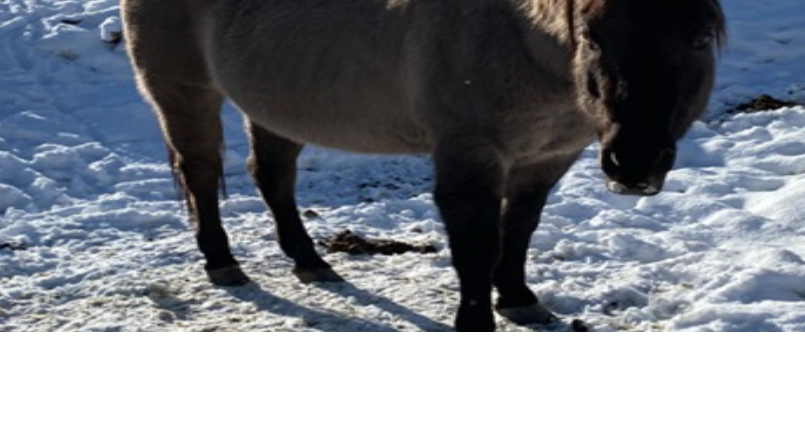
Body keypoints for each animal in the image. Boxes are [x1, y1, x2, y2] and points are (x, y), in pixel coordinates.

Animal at [122, 0, 726, 332]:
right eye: (594, 36)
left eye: (699, 37)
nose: (635, 162)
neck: (516, 38)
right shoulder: (468, 155)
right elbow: (476, 246)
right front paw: (478, 319)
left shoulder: (548, 156)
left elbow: (520, 228)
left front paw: (519, 299)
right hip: (183, 90)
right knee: (201, 170)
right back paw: (223, 262)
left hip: (272, 102)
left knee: (272, 175)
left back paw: (310, 261)